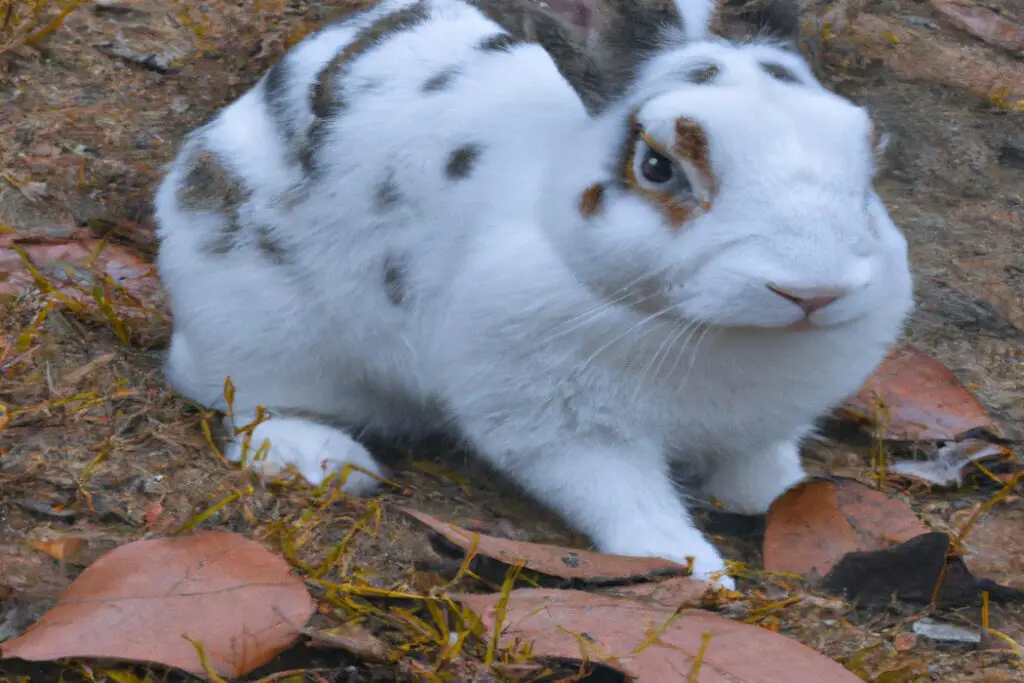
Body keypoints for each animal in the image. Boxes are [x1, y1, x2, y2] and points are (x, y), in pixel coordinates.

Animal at [153, 0, 914, 589]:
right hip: (258, 322)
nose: (812, 290)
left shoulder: (761, 428)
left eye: (869, 154)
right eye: (657, 165)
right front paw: (697, 568)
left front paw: (782, 498)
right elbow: (627, 499)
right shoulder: (565, 430)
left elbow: (760, 465)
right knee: (237, 398)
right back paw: (320, 459)